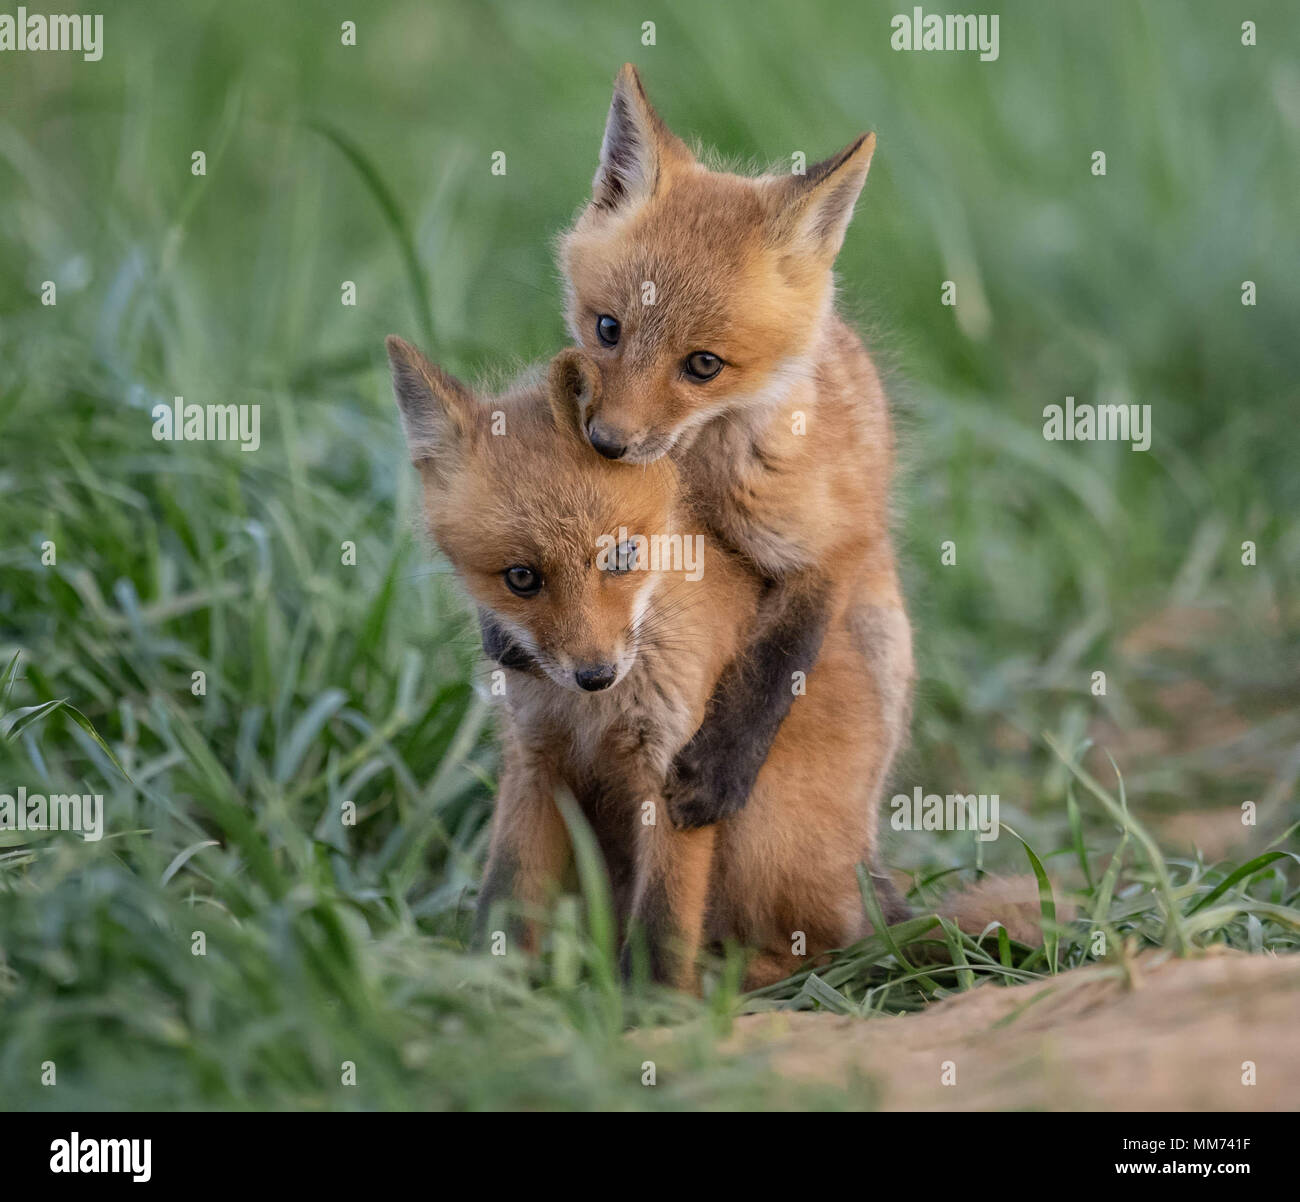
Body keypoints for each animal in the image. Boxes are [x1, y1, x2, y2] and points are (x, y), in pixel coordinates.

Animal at [387, 336, 914, 989]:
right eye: (521, 579)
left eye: (621, 555)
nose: (594, 675)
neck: (595, 716)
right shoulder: (535, 763)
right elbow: (504, 902)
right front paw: (487, 990)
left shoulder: (667, 772)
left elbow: (662, 925)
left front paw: (652, 1006)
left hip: (760, 834)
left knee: (828, 949)